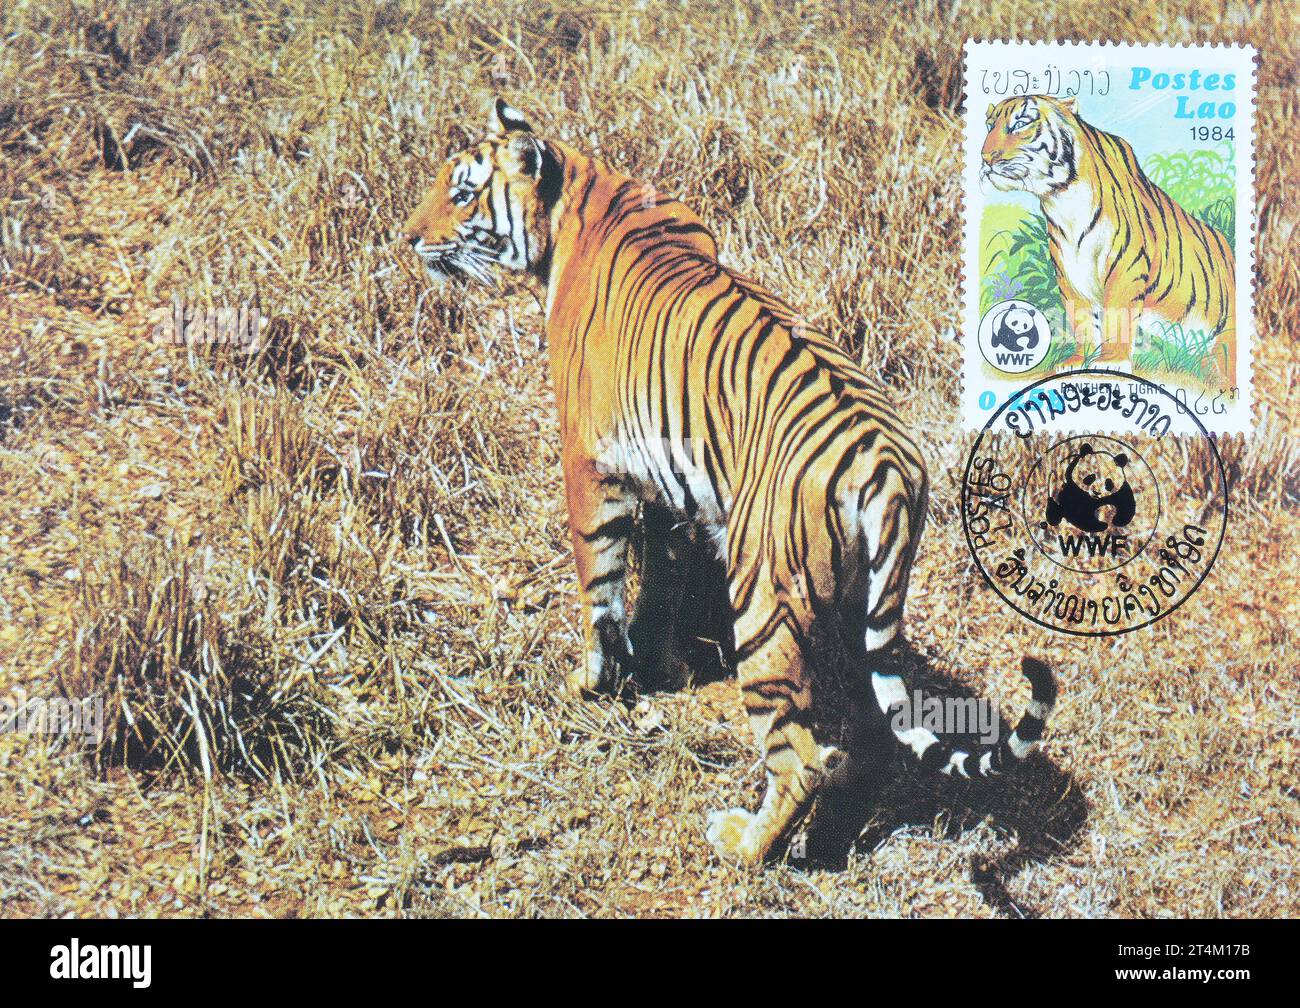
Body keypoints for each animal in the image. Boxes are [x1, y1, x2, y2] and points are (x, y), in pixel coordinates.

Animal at [404, 100, 1057, 864]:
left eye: (462, 193)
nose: (407, 237)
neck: (585, 194)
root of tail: (887, 465)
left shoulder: (588, 464)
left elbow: (600, 587)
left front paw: (592, 682)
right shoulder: (661, 474)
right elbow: (657, 574)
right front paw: (660, 663)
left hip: (766, 599)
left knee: (796, 753)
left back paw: (747, 842)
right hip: (856, 605)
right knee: (869, 728)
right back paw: (840, 810)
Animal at [982, 94, 1235, 386]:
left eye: (1020, 123)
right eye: (989, 125)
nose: (985, 158)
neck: (1062, 200)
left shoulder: (1126, 269)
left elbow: (1117, 316)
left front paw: (1111, 362)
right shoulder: (1070, 274)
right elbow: (1080, 320)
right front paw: (1078, 361)